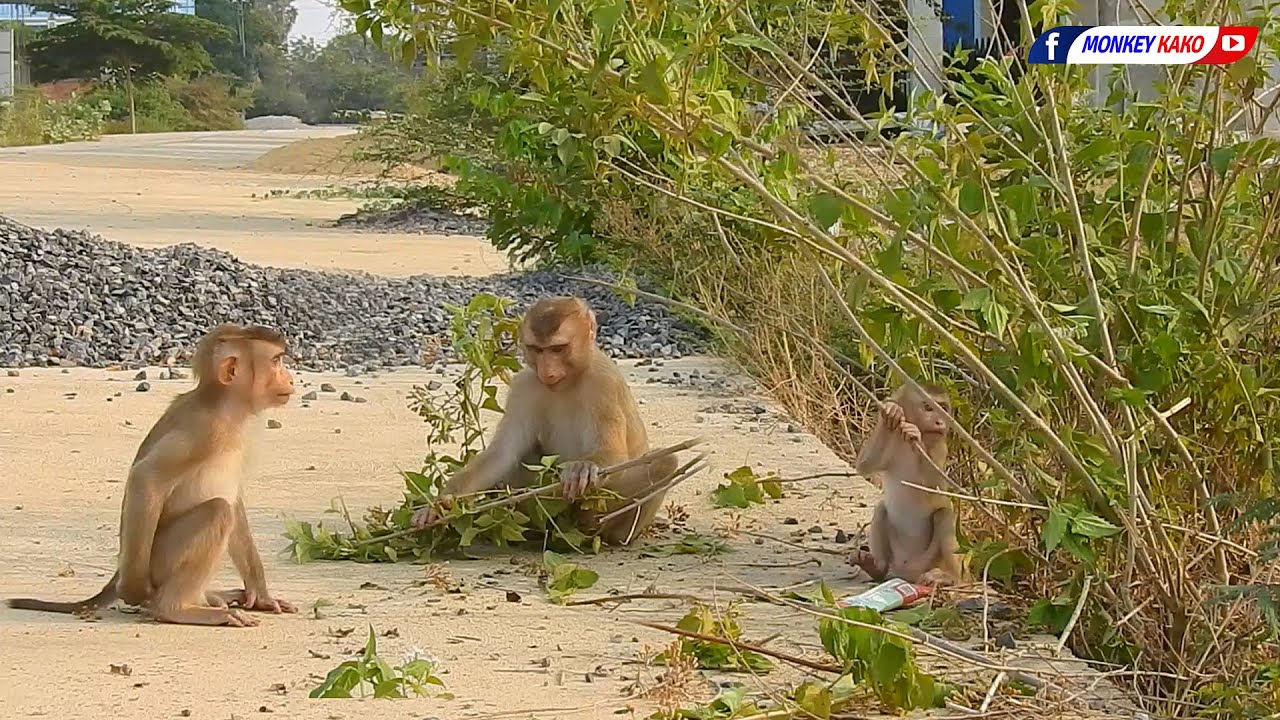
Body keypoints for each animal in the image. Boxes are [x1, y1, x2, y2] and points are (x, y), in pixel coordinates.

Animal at [7, 324, 298, 627]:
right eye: (276, 361)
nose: (290, 379)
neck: (226, 407)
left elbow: (235, 499)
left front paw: (261, 594)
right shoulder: (205, 430)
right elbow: (146, 478)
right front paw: (134, 590)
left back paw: (209, 597)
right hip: (159, 561)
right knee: (218, 511)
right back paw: (175, 608)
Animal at [410, 296, 680, 545]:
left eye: (558, 349)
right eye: (538, 350)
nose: (547, 371)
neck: (569, 381)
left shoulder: (604, 384)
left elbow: (613, 453)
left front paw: (582, 468)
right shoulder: (524, 385)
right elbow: (502, 454)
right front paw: (438, 506)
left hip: (607, 506)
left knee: (665, 462)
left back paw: (609, 534)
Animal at [847, 382, 964, 588]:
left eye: (943, 410)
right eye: (928, 408)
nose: (940, 422)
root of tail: (908, 572)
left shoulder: (940, 447)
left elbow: (935, 489)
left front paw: (915, 436)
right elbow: (865, 465)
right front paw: (891, 412)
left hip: (930, 560)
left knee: (943, 514)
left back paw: (950, 577)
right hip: (897, 556)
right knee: (881, 509)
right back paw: (876, 568)